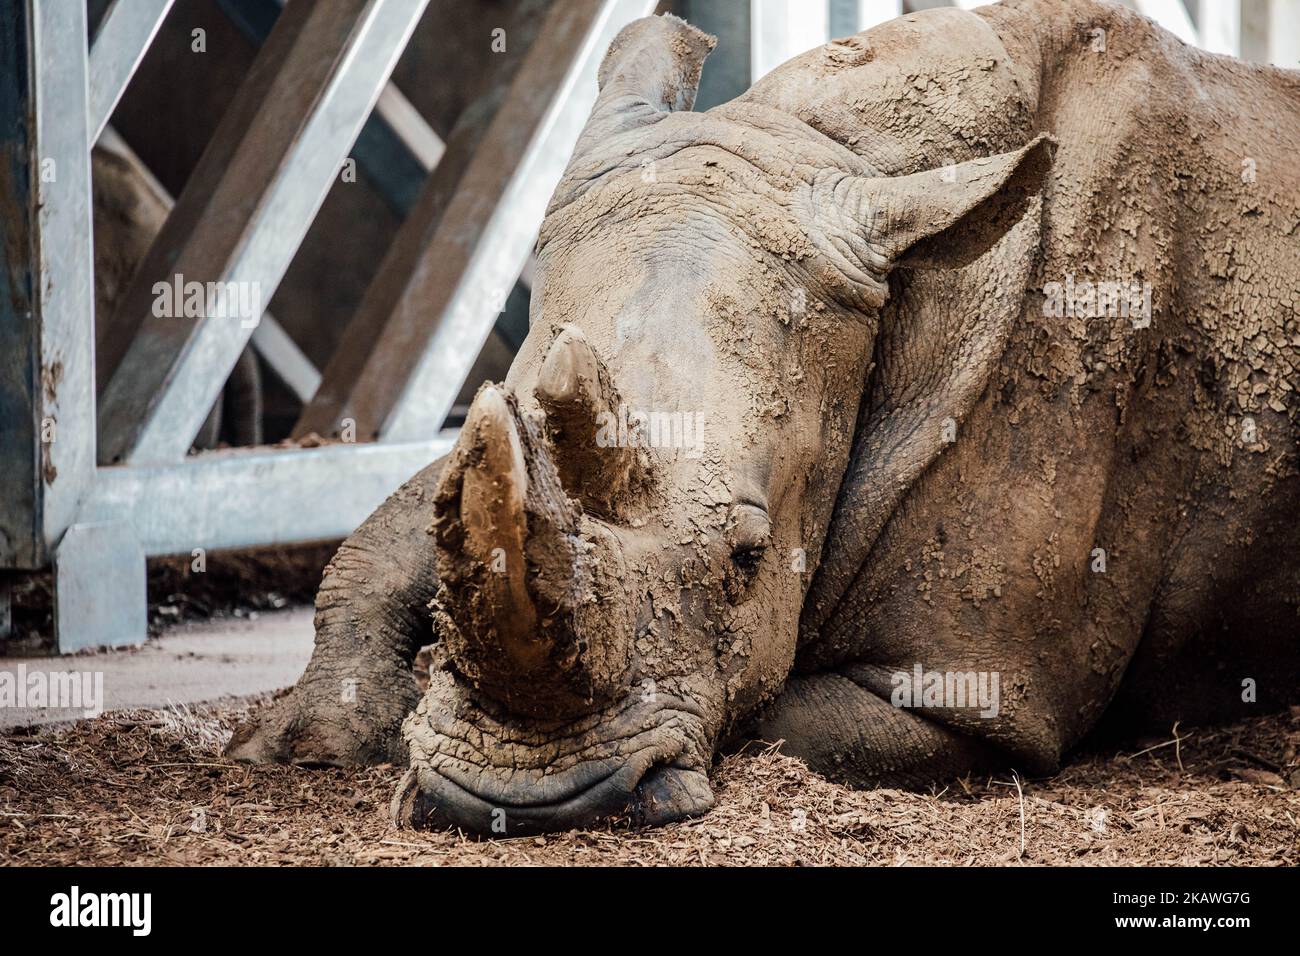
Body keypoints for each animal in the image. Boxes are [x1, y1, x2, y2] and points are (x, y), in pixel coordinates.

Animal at [227, 0, 1300, 835]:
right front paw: (291, 739)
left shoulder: (976, 689)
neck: (834, 148)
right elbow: (400, 524)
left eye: (749, 558)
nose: (513, 803)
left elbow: (765, 715)